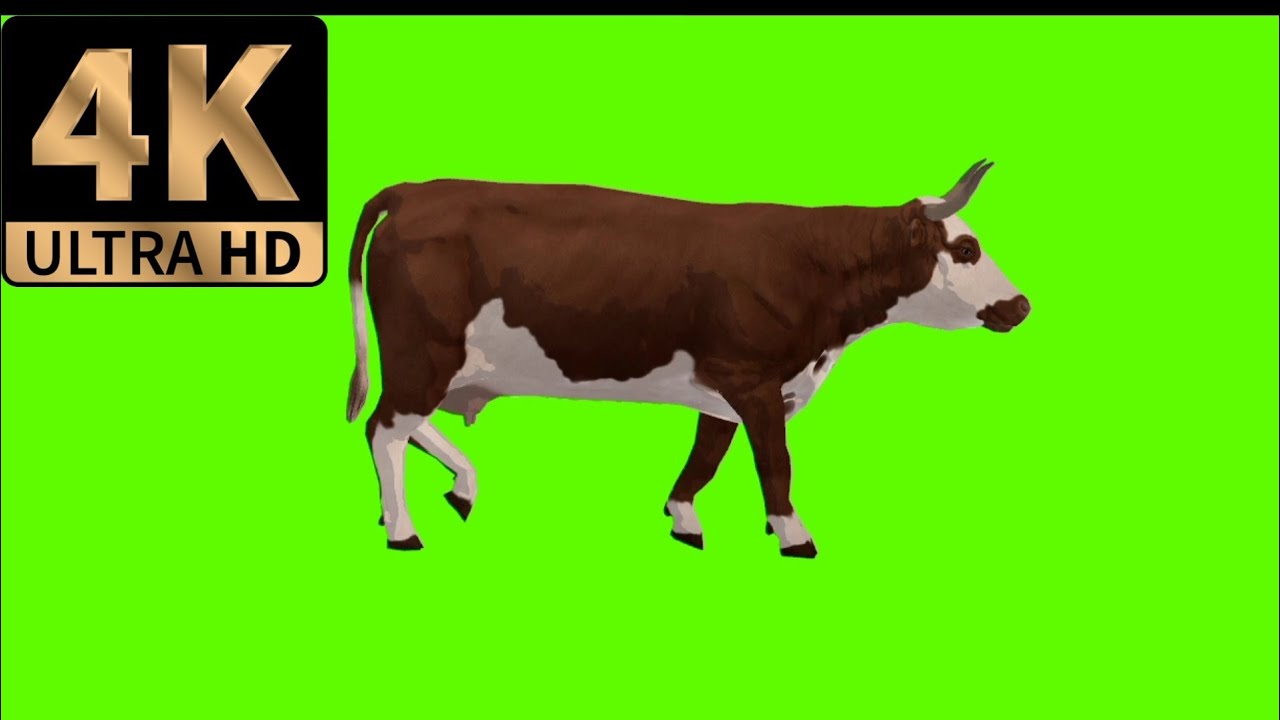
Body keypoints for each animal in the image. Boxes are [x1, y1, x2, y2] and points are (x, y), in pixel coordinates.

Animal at [345, 160, 1030, 558]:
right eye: (966, 249)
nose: (1021, 305)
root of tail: (413, 191)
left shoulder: (725, 388)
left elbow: (707, 454)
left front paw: (684, 517)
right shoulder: (752, 379)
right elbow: (774, 462)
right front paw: (793, 534)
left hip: (439, 363)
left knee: (399, 423)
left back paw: (454, 489)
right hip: (425, 352)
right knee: (384, 427)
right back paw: (404, 530)